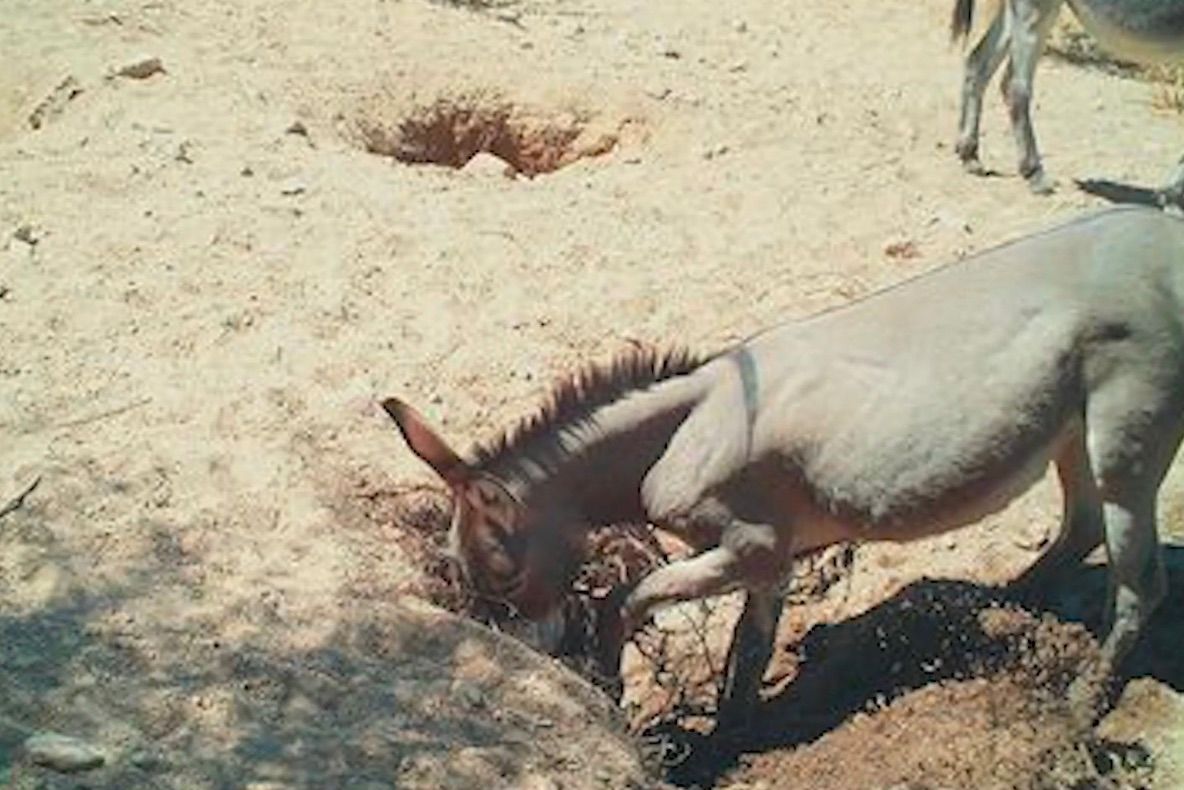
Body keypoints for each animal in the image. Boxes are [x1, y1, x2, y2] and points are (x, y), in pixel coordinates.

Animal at [384, 206, 1184, 725]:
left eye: (503, 575)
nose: (535, 670)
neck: (683, 424)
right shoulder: (770, 560)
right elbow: (749, 651)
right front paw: (731, 739)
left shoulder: (750, 546)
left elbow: (625, 602)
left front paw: (614, 690)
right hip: (1072, 434)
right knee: (1080, 532)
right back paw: (998, 609)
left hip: (1125, 440)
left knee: (1141, 583)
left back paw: (1081, 705)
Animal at [952, 0, 1184, 206]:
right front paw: (1173, 197)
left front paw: (1172, 194)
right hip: (1035, 12)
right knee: (1014, 87)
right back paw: (1034, 174)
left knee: (977, 63)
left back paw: (969, 155)